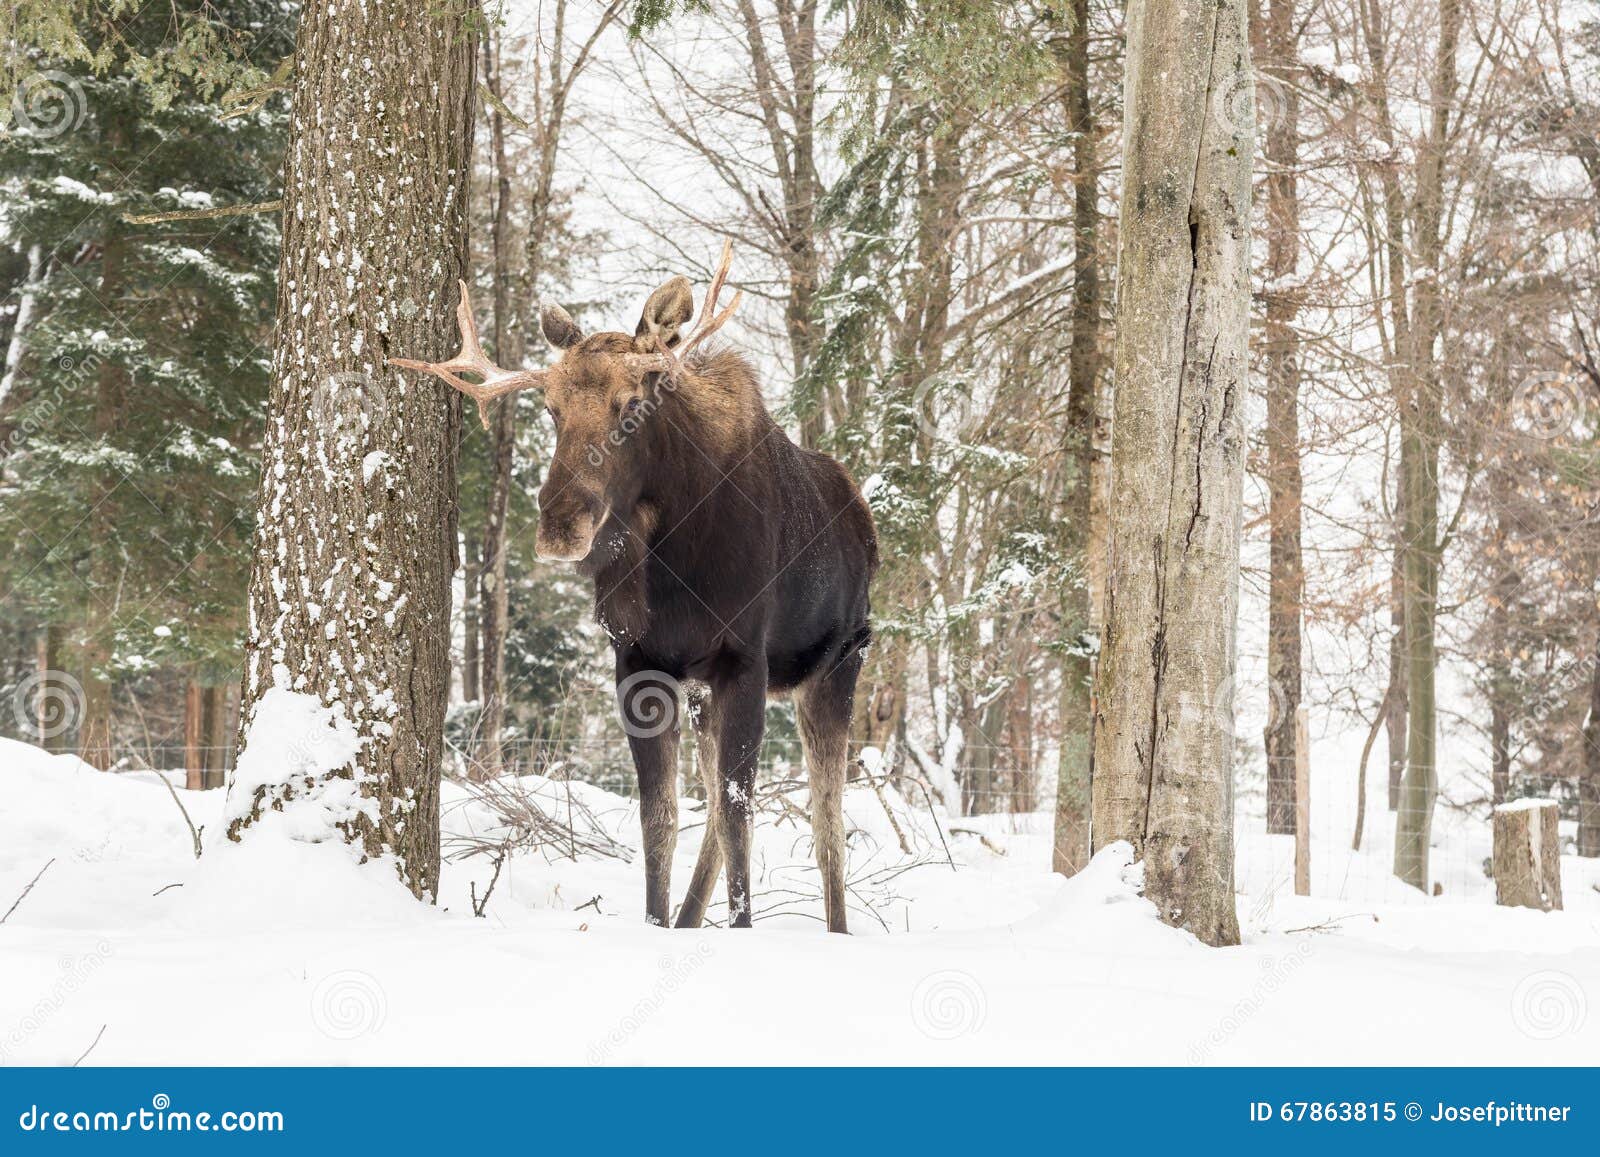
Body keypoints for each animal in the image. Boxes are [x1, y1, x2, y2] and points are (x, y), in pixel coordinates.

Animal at [390, 244, 877, 933]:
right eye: (552, 409)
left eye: (630, 404)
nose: (559, 524)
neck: (673, 566)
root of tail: (862, 515)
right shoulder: (640, 661)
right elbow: (663, 819)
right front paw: (655, 923)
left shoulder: (745, 656)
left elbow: (740, 812)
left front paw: (743, 929)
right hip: (710, 690)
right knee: (721, 808)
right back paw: (690, 918)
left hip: (841, 660)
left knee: (826, 819)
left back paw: (836, 928)